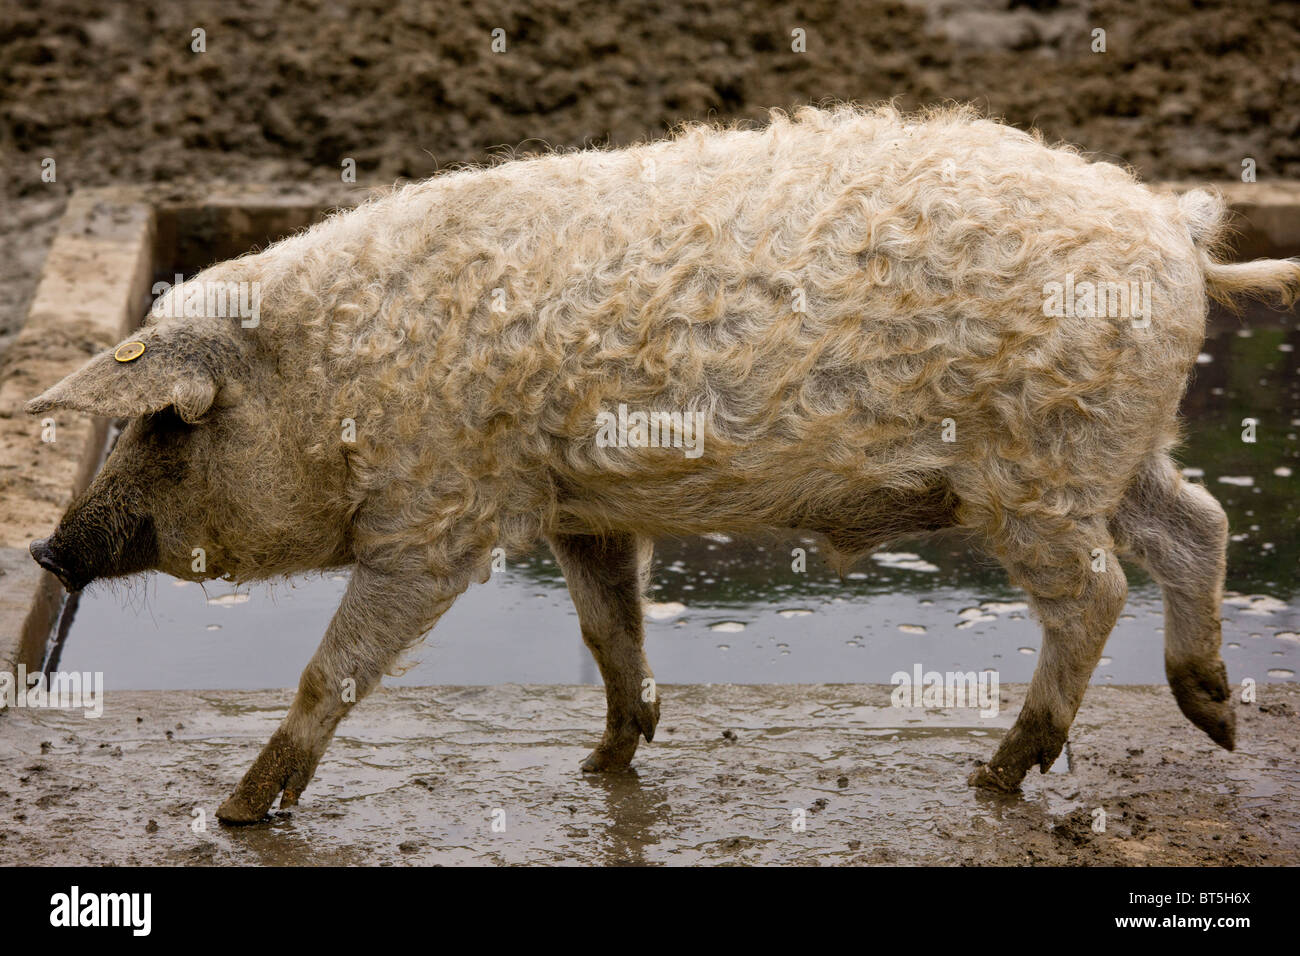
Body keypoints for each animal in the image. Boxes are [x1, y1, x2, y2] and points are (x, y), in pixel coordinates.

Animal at [25, 105, 1300, 822]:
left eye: (167, 426)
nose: (46, 544)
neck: (332, 381)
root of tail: (1176, 231)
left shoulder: (438, 514)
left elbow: (334, 664)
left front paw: (235, 812)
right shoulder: (577, 506)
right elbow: (609, 628)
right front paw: (601, 760)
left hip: (1039, 469)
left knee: (1095, 589)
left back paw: (996, 777)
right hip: (1113, 449)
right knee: (1198, 523)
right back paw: (1214, 717)